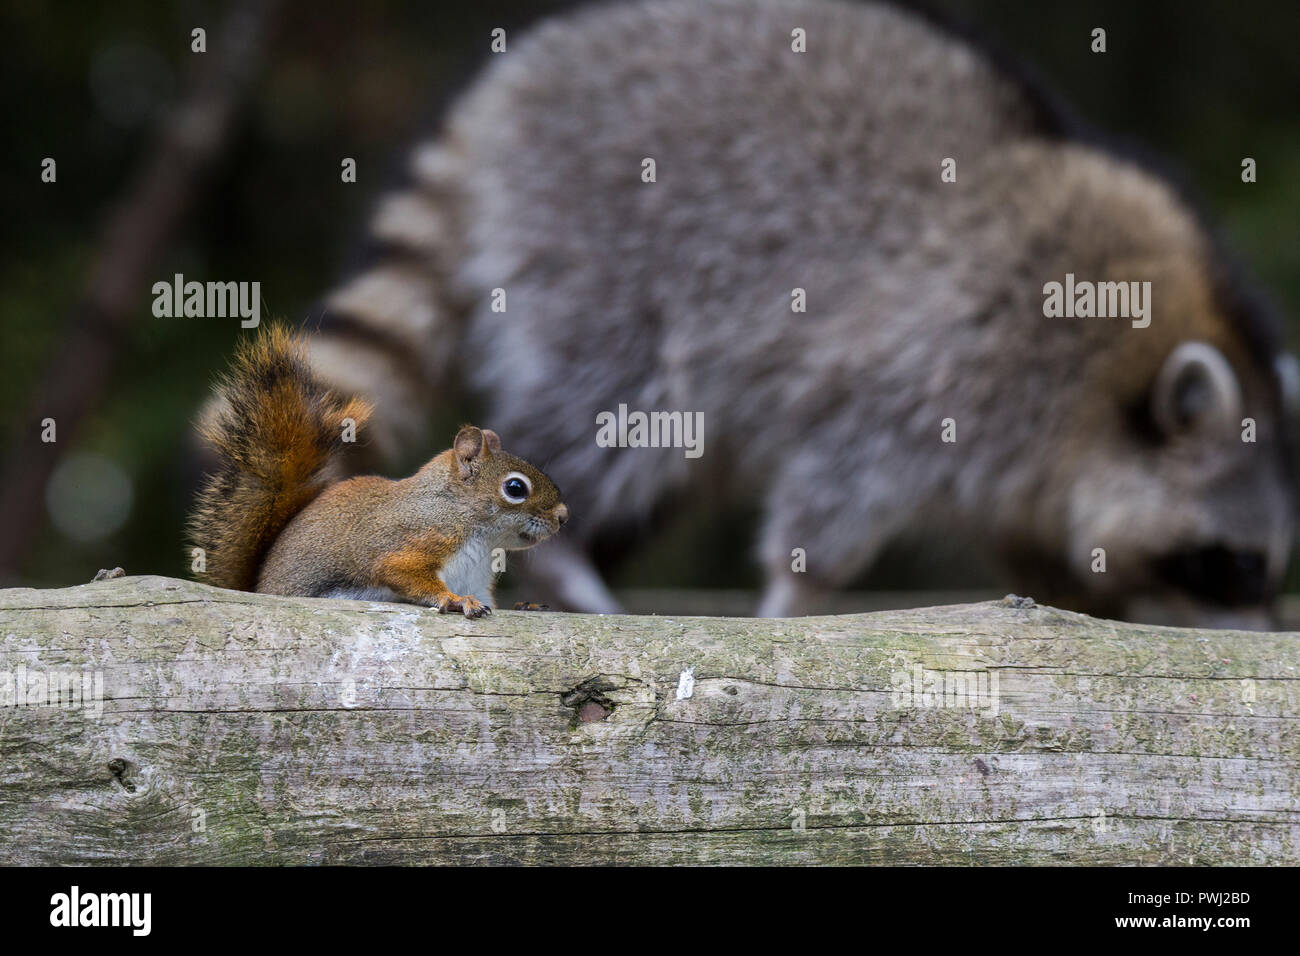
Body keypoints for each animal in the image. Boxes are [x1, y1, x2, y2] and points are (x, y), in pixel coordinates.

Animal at [187, 326, 568, 616]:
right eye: (515, 488)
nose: (563, 517)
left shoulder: (476, 578)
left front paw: (527, 605)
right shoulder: (413, 541)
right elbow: (402, 572)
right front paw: (455, 600)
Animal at [301, 0, 1295, 625]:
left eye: (1263, 571)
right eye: (1234, 563)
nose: (1258, 637)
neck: (1107, 372)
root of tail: (514, 84)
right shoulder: (944, 358)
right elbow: (835, 495)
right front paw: (796, 597)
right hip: (612, 250)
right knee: (618, 410)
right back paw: (572, 564)